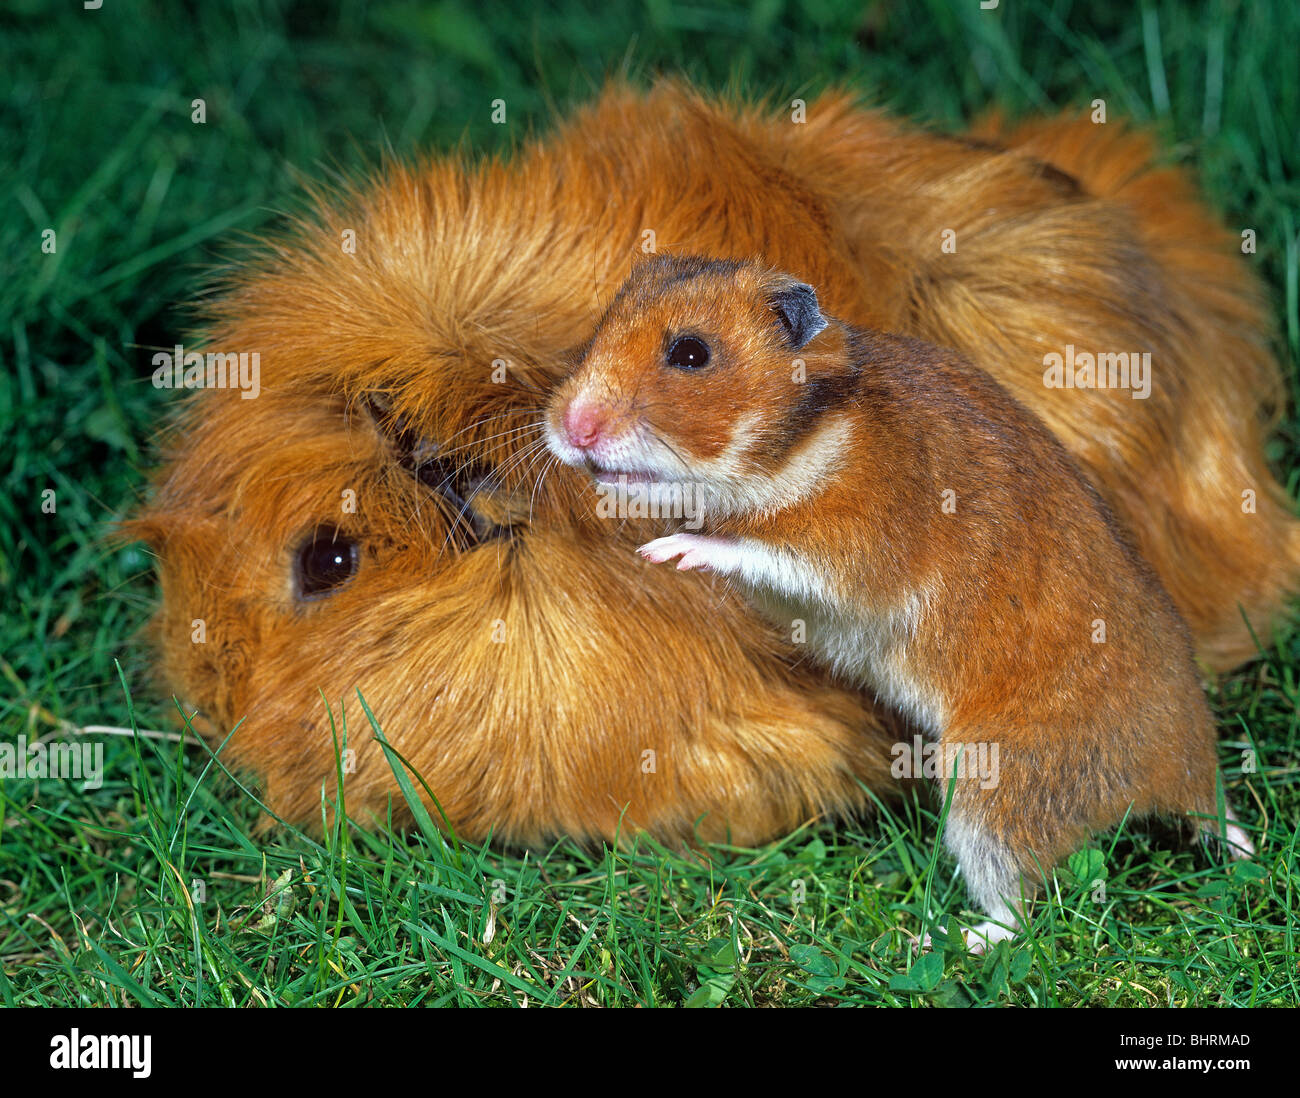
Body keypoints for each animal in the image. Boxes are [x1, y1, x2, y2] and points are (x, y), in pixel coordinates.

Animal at [545, 253, 1254, 950]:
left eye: (690, 353)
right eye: (600, 326)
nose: (569, 428)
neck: (806, 438)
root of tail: (1185, 770)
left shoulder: (852, 553)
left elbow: (750, 548)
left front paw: (667, 551)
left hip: (992, 784)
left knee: (1021, 907)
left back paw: (944, 939)